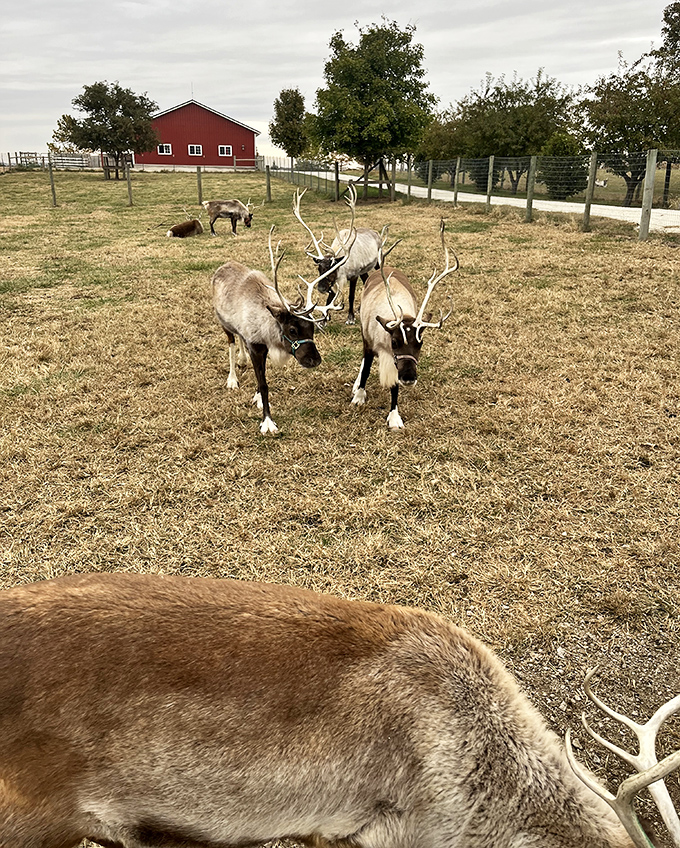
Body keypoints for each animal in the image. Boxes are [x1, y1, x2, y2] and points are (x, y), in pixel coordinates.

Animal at [212, 225, 340, 434]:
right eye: (292, 330)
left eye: (312, 328)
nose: (315, 360)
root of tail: (221, 267)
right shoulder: (255, 346)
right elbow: (264, 383)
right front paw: (267, 421)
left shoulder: (261, 347)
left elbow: (261, 377)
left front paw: (257, 398)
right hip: (223, 323)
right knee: (231, 343)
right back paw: (232, 379)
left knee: (239, 339)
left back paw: (242, 360)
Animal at [293, 184, 382, 324]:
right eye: (319, 268)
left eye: (332, 269)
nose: (321, 288)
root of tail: (375, 232)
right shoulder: (336, 281)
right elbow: (330, 298)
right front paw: (324, 319)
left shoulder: (353, 275)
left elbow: (351, 296)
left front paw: (350, 318)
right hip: (364, 270)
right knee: (366, 280)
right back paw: (360, 307)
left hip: (378, 261)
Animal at [351, 220, 457, 429]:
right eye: (395, 341)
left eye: (420, 343)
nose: (409, 377)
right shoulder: (370, 343)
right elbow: (366, 369)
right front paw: (359, 396)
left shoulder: (395, 361)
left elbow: (394, 386)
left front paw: (394, 417)